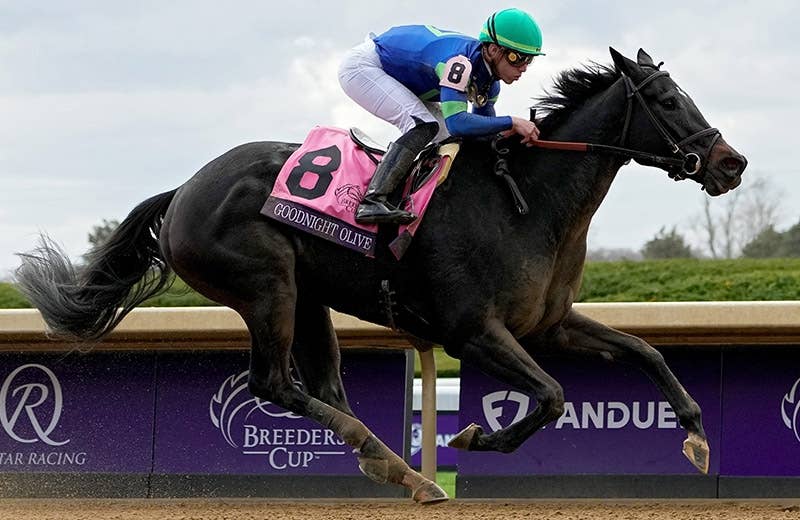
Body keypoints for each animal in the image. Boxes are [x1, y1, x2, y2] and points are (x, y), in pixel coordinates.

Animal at [15, 48, 747, 503]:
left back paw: (400, 470)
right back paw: (401, 467)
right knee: (274, 382)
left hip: (308, 298)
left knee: (323, 387)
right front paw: (474, 435)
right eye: (667, 101)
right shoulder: (472, 331)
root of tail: (183, 192)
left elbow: (645, 350)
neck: (527, 202)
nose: (731, 163)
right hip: (267, 286)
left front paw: (697, 436)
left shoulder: (548, 323)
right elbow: (551, 396)